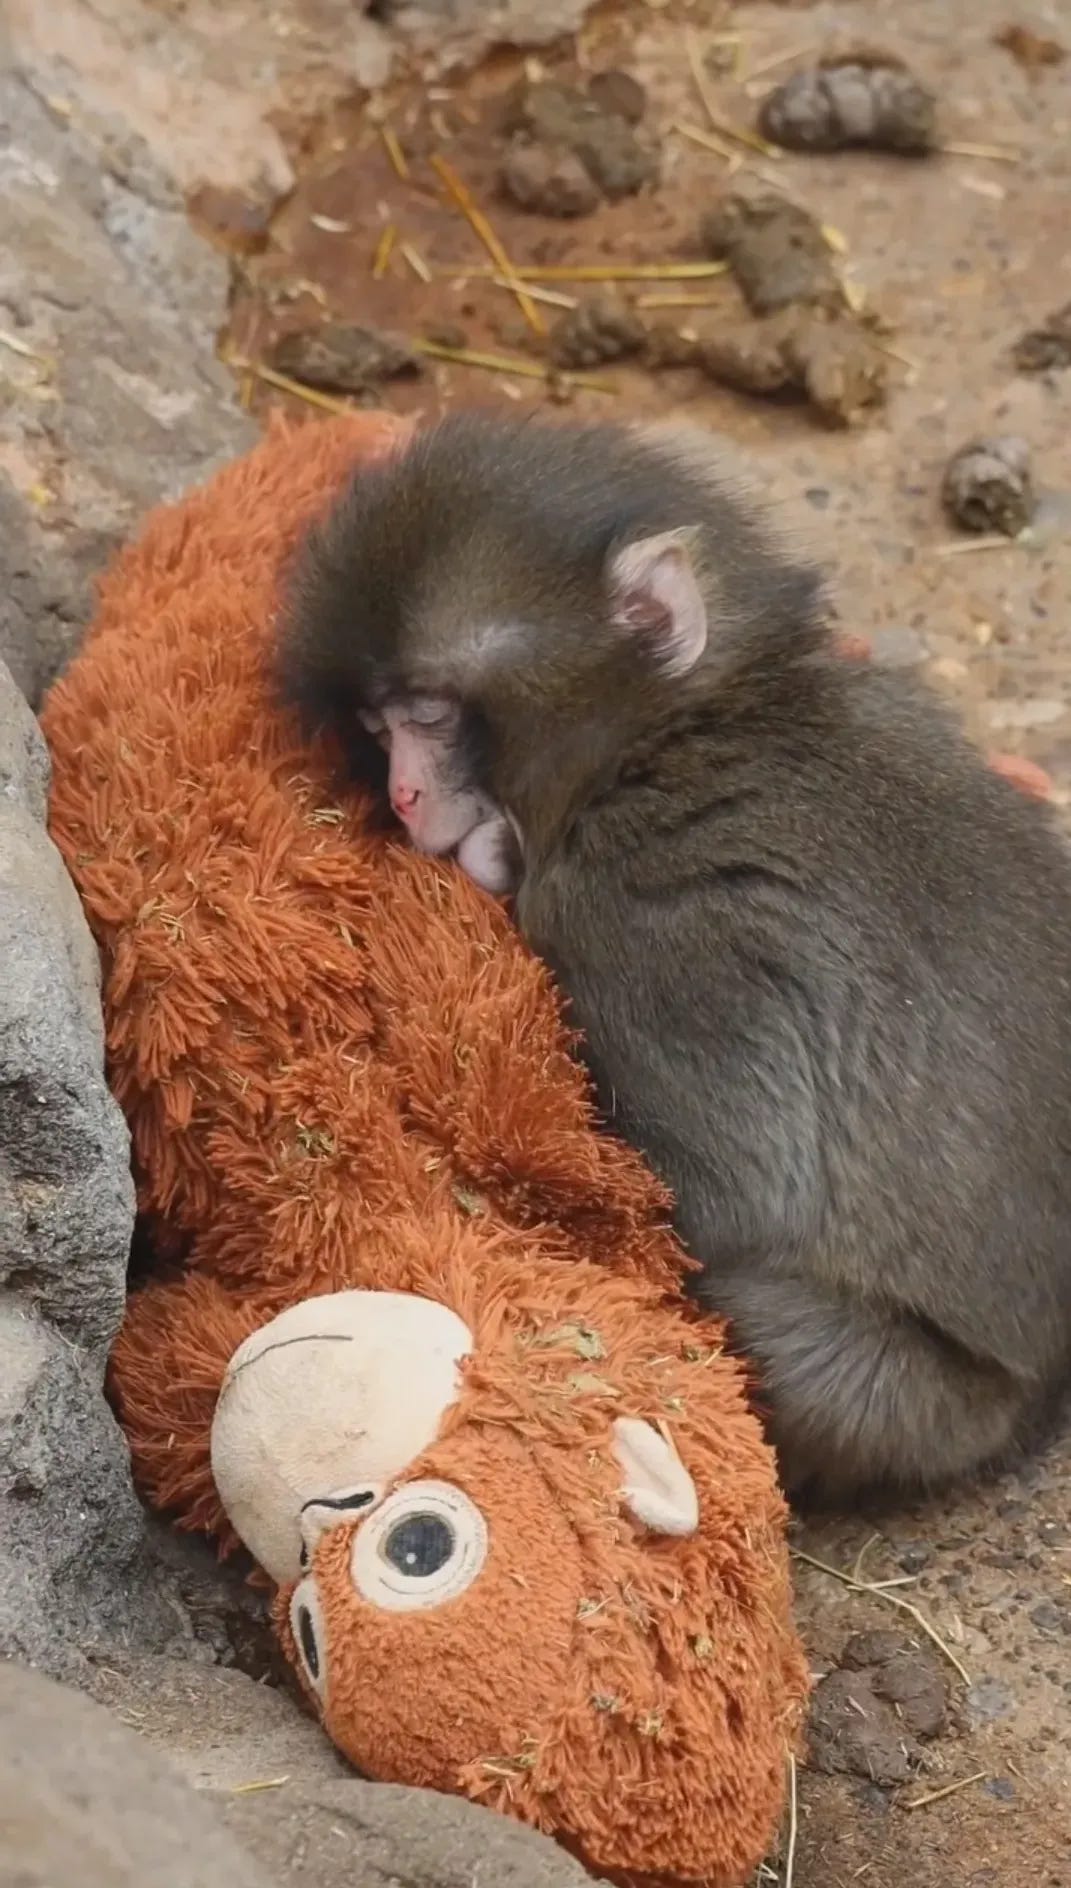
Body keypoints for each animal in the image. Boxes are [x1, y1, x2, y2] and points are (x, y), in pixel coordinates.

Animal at [278, 409, 1071, 1507]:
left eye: (429, 712)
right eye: (376, 721)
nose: (402, 795)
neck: (676, 733)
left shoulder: (648, 925)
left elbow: (721, 1197)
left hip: (910, 1402)